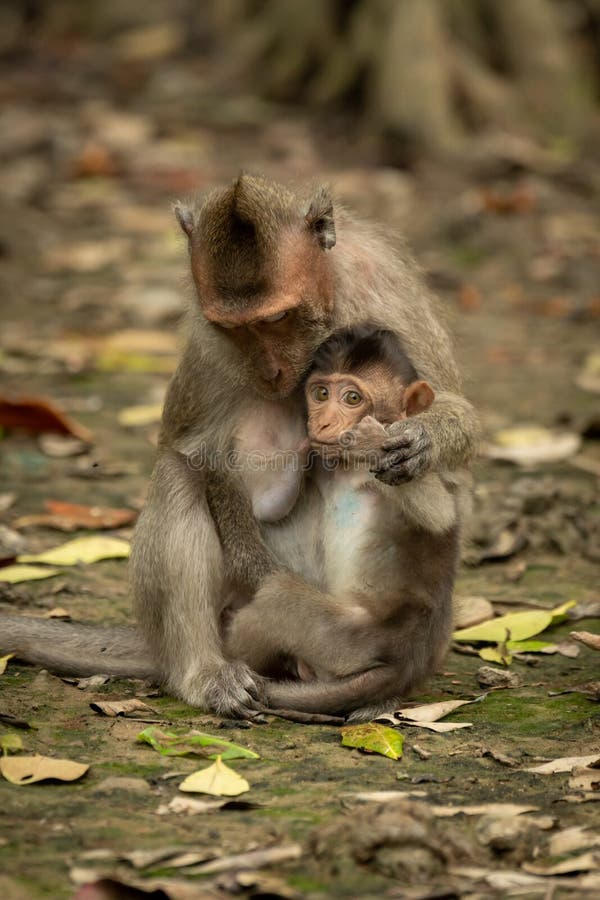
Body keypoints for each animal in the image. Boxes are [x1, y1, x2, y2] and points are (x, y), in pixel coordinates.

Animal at [0, 174, 479, 718]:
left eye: (277, 318)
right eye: (237, 328)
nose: (270, 372)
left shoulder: (383, 285)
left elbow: (453, 415)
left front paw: (419, 438)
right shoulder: (210, 342)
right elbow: (195, 451)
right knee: (179, 477)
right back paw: (205, 672)